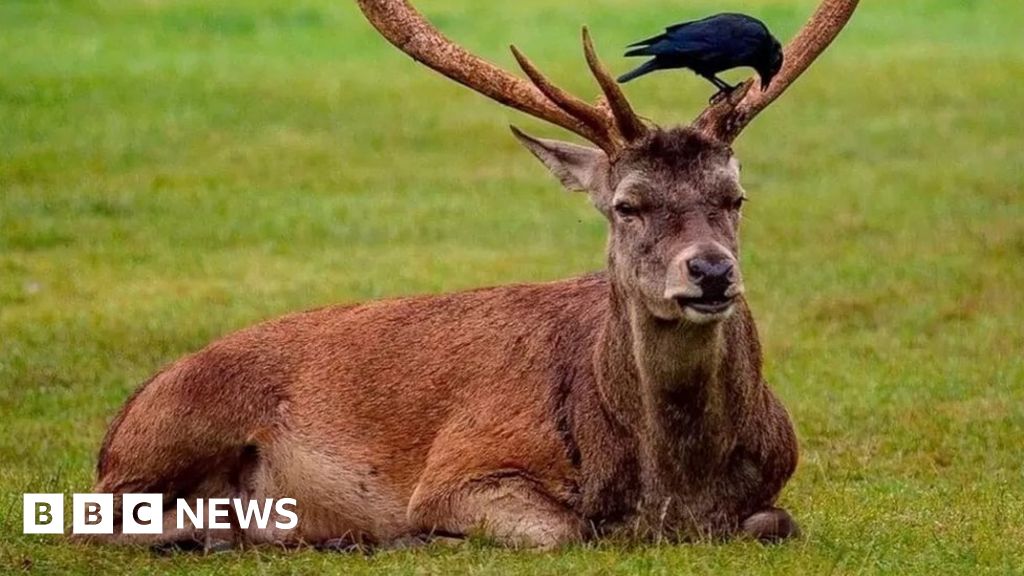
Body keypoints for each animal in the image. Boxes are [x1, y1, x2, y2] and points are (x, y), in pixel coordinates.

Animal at [88, 0, 859, 551]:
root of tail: (123, 414)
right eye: (628, 204)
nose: (710, 272)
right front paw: (415, 535)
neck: (671, 491)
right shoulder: (462, 465)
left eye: (736, 196)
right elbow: (564, 531)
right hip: (170, 432)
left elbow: (777, 522)